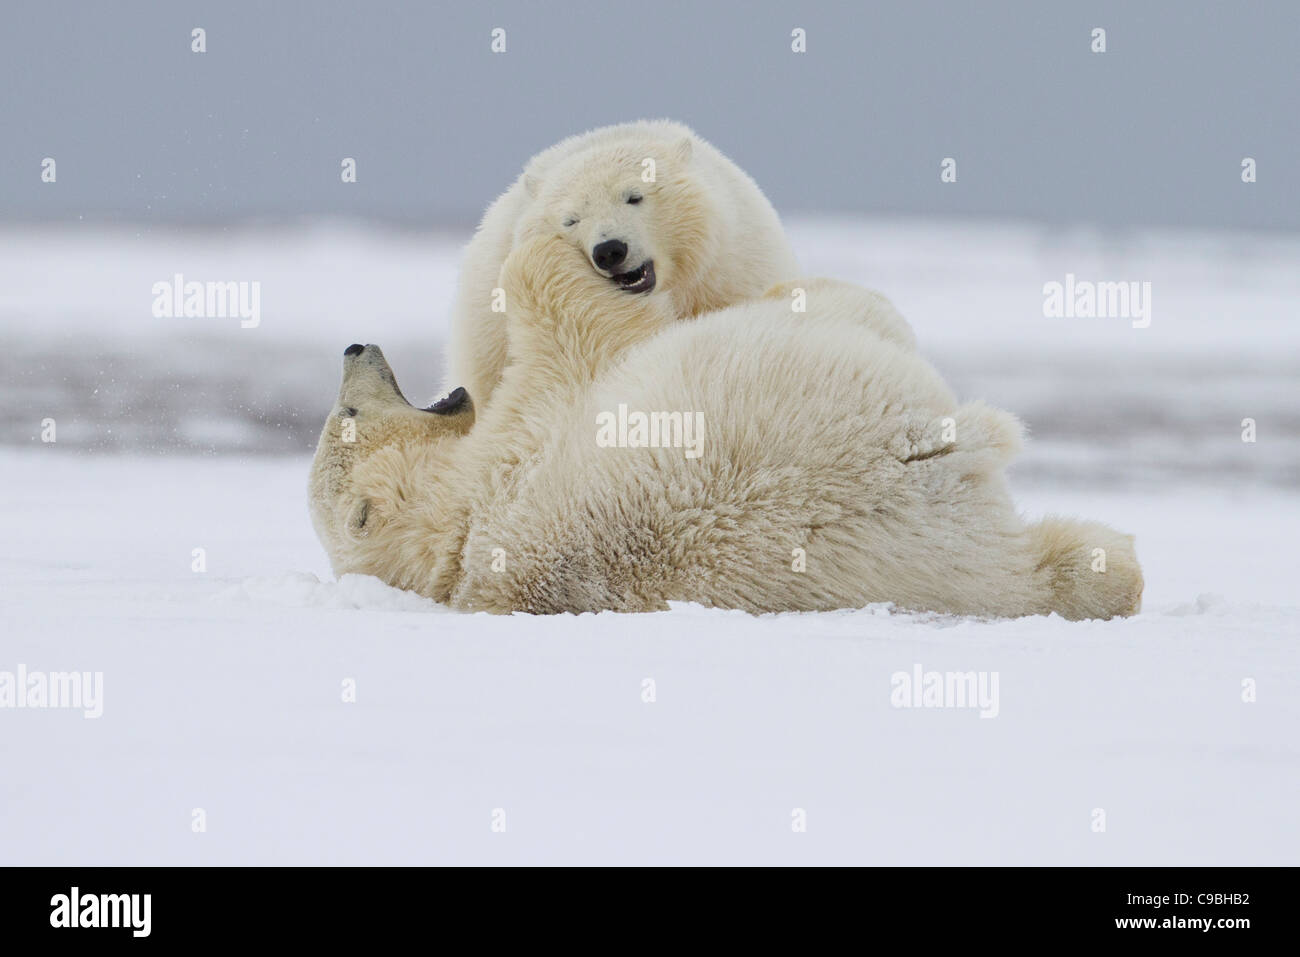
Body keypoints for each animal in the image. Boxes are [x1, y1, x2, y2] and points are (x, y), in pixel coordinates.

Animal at [308, 234, 1144, 620]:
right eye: (346, 412)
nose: (354, 348)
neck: (455, 525)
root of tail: (905, 460)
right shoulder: (539, 417)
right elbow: (567, 315)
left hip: (946, 562)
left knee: (1042, 571)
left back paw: (1107, 565)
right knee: (850, 304)